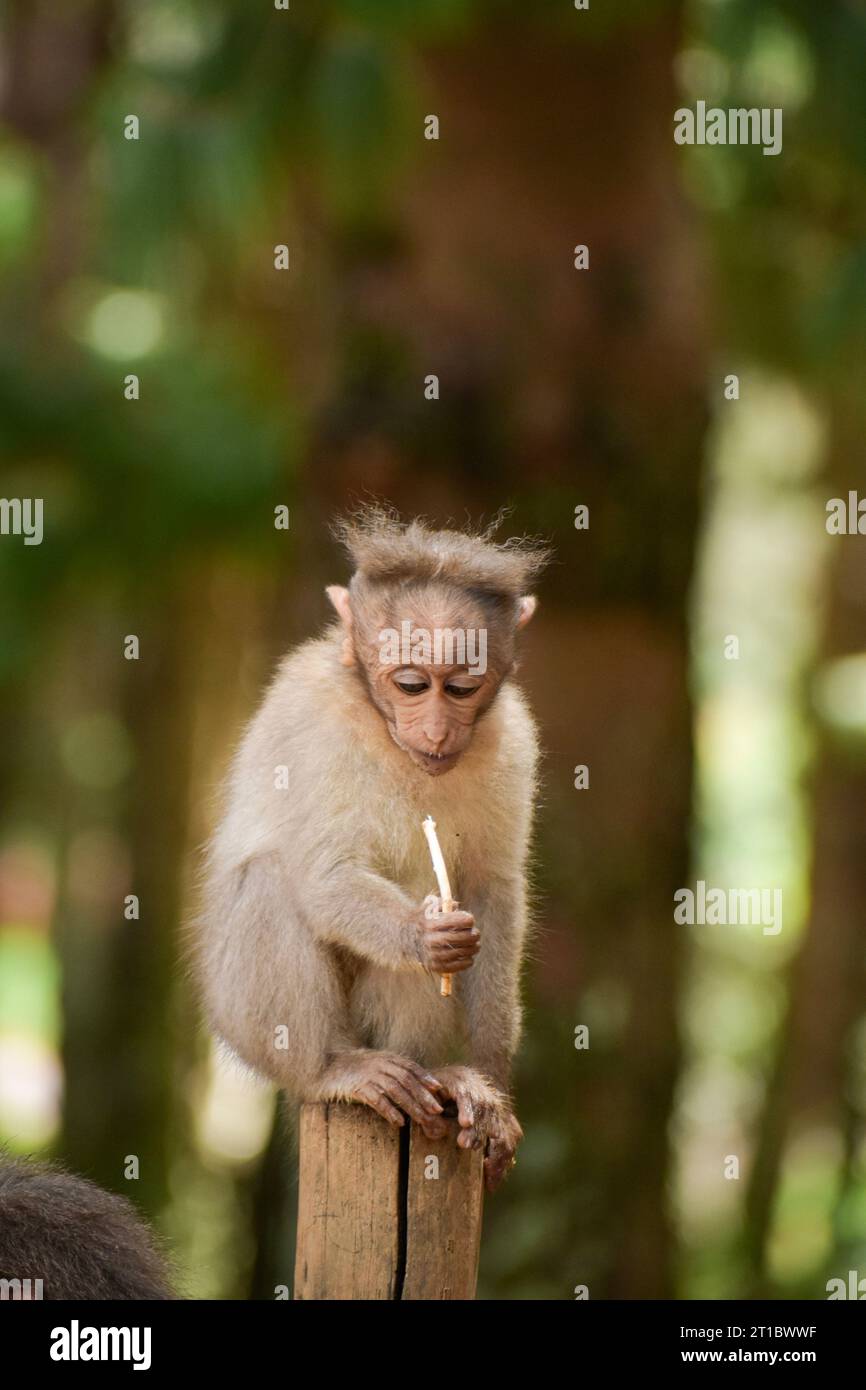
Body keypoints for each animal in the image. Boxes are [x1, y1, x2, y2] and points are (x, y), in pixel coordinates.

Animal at [194, 508, 549, 1192]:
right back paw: (333, 1068)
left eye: (460, 689)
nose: (435, 730)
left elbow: (494, 892)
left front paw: (493, 1082)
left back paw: (444, 1076)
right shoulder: (316, 724)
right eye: (410, 684)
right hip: (234, 1016)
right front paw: (425, 935)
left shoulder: (515, 738)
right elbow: (326, 877)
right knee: (271, 880)